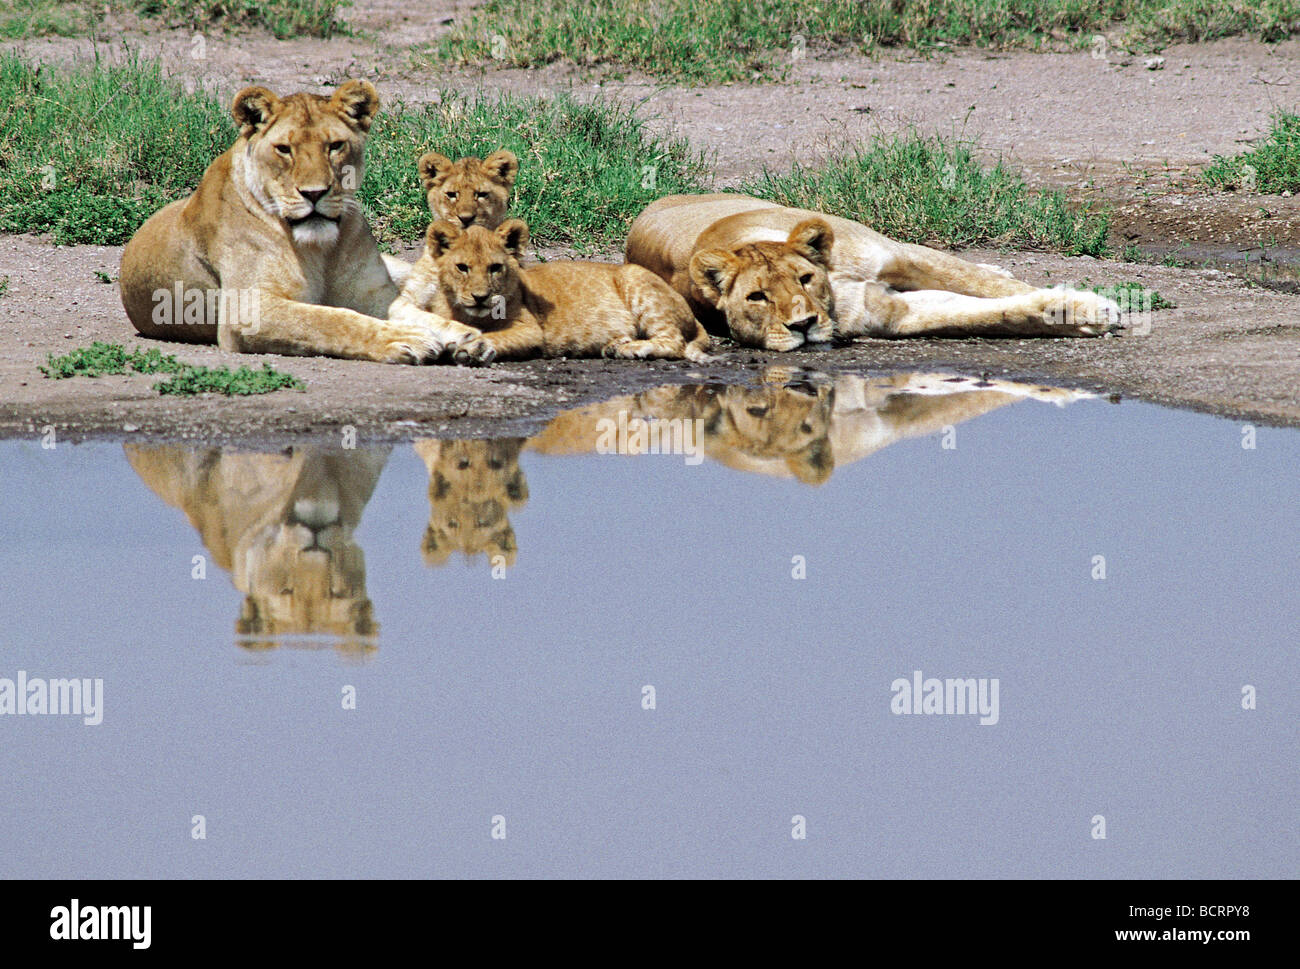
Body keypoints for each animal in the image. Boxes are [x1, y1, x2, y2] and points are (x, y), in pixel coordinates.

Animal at [119, 80, 491, 364]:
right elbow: (331, 320)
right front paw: (408, 339)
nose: (314, 193)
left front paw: (466, 337)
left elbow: (420, 313)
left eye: (335, 145)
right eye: (284, 149)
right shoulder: (248, 309)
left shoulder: (377, 297)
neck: (320, 248)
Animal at [400, 218, 713, 362]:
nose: (480, 297)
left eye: (495, 268)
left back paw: (631, 349)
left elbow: (495, 336)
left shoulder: (530, 330)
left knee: (674, 342)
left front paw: (472, 348)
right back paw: (615, 345)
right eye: (462, 267)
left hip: (635, 278)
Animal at [625, 193, 1123, 351]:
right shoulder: (891, 312)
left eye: (803, 279)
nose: (802, 325)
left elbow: (993, 285)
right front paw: (1078, 314)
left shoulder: (902, 254)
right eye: (757, 298)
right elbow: (991, 312)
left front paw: (1090, 305)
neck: (834, 273)